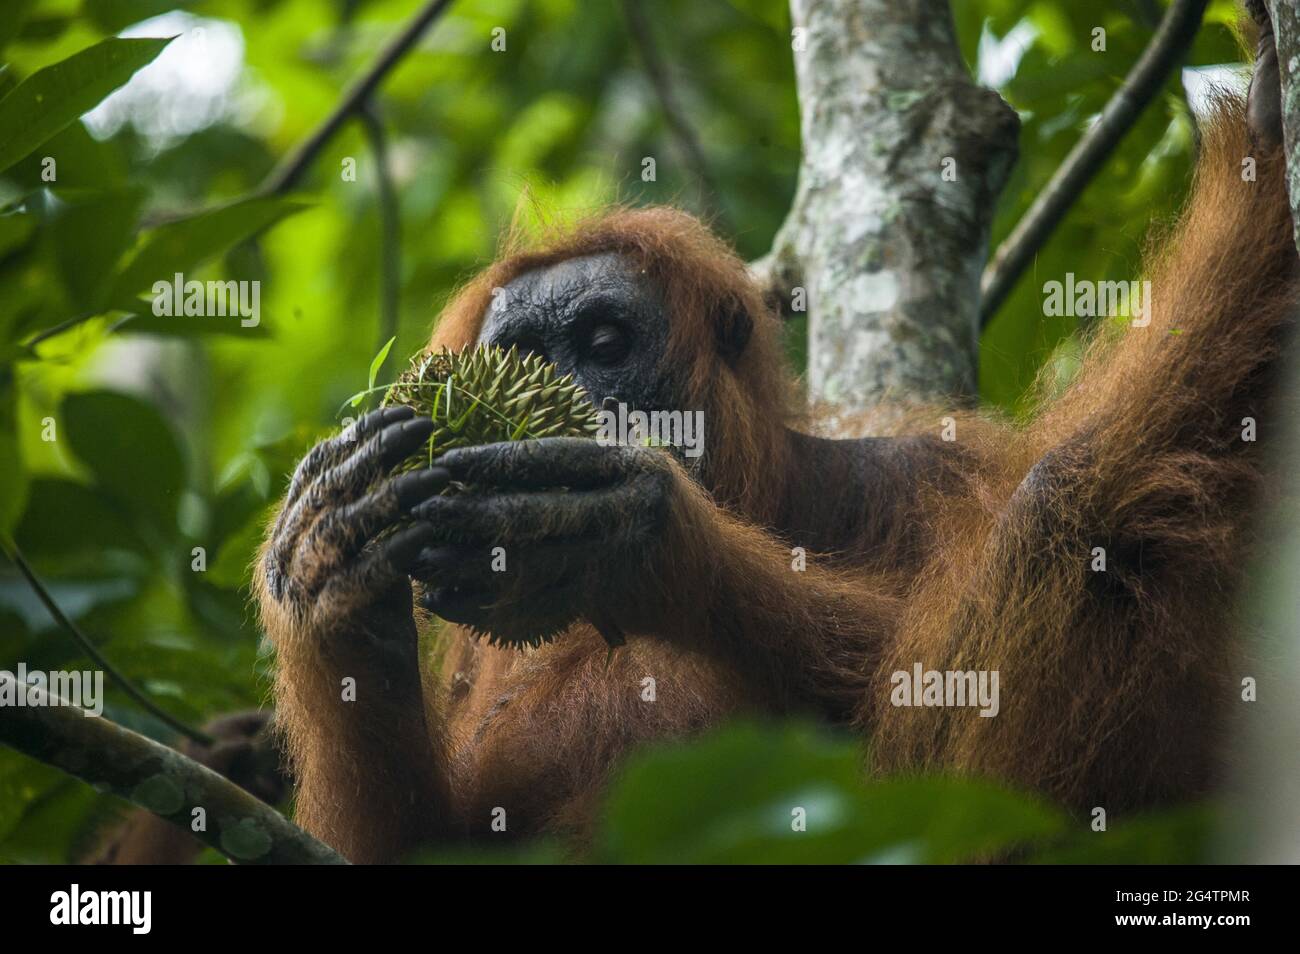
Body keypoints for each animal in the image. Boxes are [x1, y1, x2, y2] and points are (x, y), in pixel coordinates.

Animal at [252, 17, 1298, 863]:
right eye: (527, 354)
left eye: (603, 344)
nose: (575, 397)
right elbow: (434, 841)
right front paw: (326, 569)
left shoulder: (924, 468)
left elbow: (921, 680)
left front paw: (636, 537)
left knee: (1066, 503)